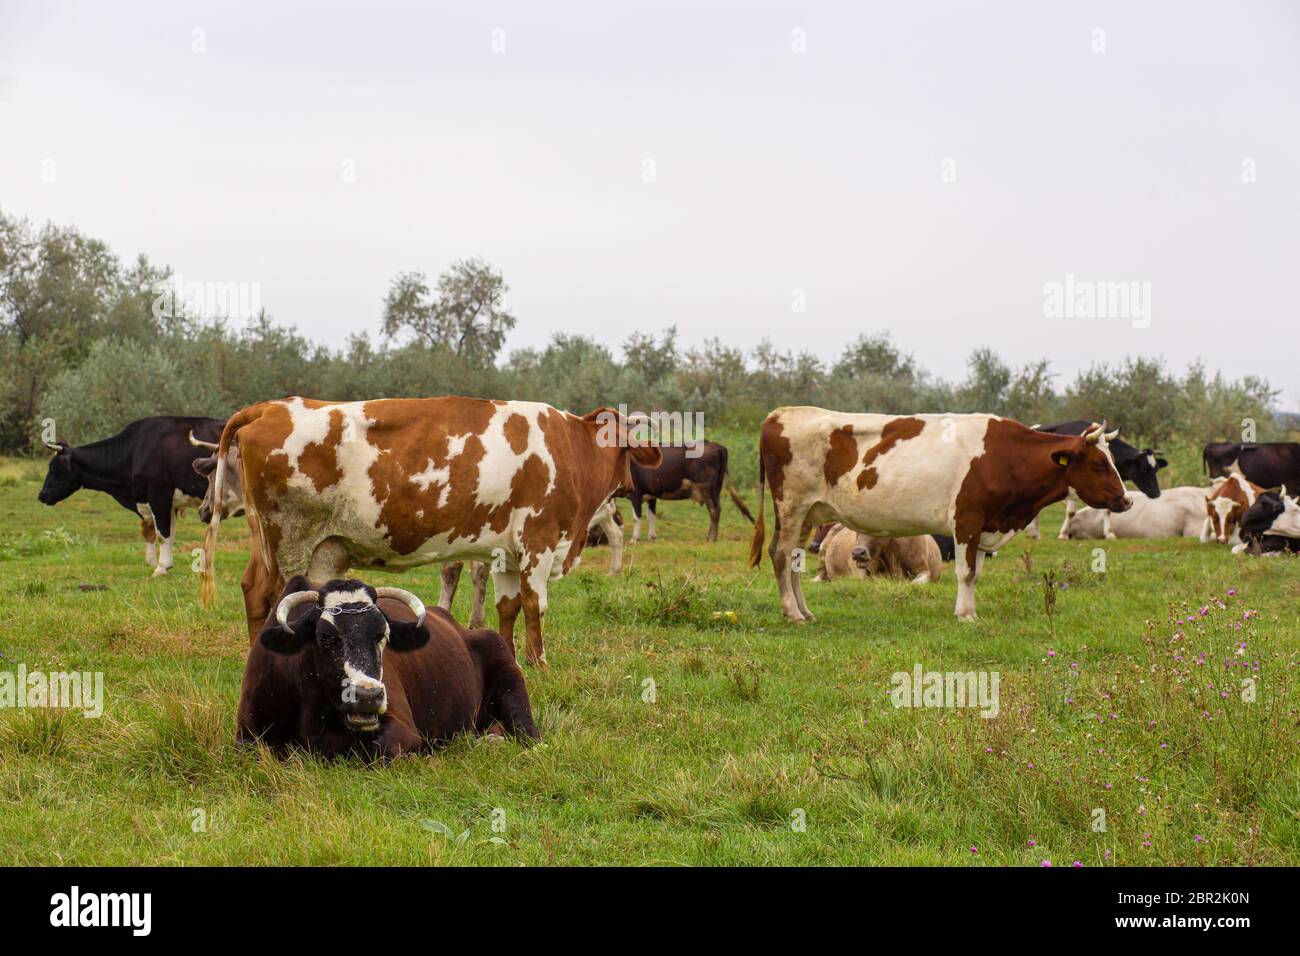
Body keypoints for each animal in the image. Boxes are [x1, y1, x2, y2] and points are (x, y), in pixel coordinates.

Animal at [38, 416, 226, 575]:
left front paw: (161, 568)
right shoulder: (167, 503)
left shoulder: (158, 496)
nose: (41, 495)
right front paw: (162, 564)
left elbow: (162, 533)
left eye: (53, 467)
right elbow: (166, 533)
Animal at [240, 576, 539, 758]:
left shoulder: (404, 729)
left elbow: (379, 751)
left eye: (383, 635)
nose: (367, 696)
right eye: (325, 637)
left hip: (508, 671)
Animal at [619, 440, 754, 542]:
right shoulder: (651, 496)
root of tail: (715, 445)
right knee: (715, 510)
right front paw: (652, 537)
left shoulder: (636, 494)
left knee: (714, 510)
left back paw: (712, 538)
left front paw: (634, 539)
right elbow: (651, 516)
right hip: (716, 489)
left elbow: (636, 517)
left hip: (706, 488)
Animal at [747, 409, 1130, 622]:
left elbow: (976, 574)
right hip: (791, 506)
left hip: (809, 514)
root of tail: (778, 414)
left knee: (794, 560)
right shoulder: (967, 520)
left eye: (1113, 460)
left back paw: (805, 611)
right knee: (780, 555)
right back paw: (792, 613)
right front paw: (965, 615)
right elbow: (965, 572)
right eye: (1099, 463)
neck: (1003, 455)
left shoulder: (986, 525)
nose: (1126, 500)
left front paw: (969, 610)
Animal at [1025, 420, 1166, 539]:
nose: (1157, 493)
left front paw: (1108, 533)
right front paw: (1063, 534)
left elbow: (1107, 509)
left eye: (1156, 469)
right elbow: (1071, 512)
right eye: (1144, 470)